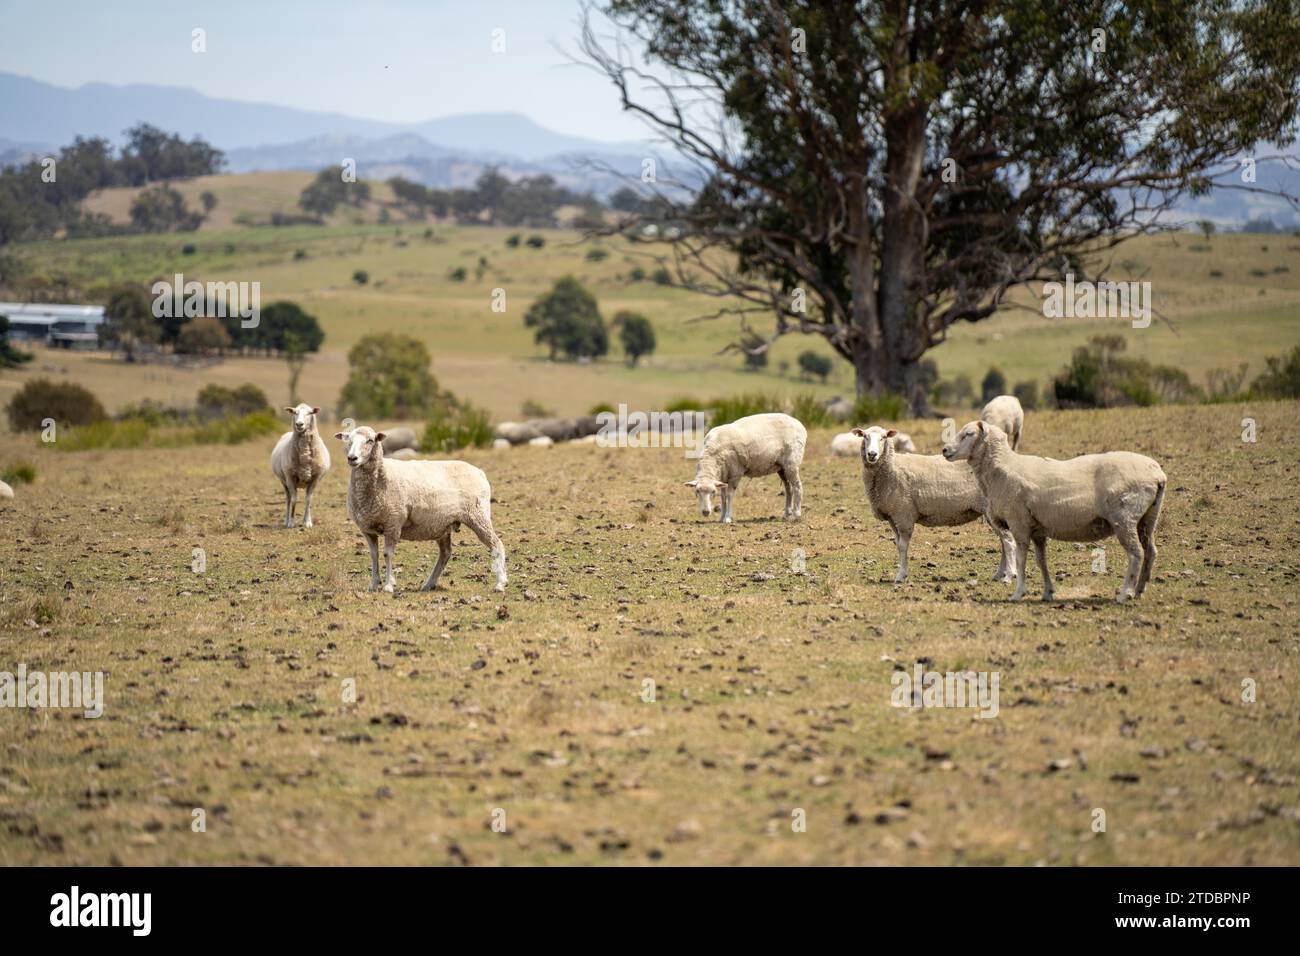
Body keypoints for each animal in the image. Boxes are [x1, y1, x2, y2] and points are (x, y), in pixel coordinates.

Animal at [337, 425, 507, 593]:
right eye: (349, 440)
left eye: (370, 440)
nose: (352, 458)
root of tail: (479, 472)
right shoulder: (367, 528)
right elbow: (374, 555)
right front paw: (373, 585)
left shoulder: (393, 523)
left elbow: (387, 554)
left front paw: (388, 585)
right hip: (442, 525)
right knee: (445, 553)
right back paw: (428, 584)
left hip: (478, 515)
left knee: (496, 544)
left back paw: (500, 582)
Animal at [854, 425, 1016, 583]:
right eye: (865, 436)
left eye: (883, 437)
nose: (872, 454)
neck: (892, 467)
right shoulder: (893, 517)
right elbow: (898, 544)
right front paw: (902, 573)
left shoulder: (904, 514)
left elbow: (902, 546)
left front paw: (901, 575)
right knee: (1003, 542)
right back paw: (999, 574)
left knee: (1008, 542)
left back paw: (1009, 575)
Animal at [944, 420, 1166, 603]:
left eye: (968, 434)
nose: (945, 450)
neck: (1001, 469)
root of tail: (1158, 474)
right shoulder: (1037, 529)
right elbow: (1041, 561)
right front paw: (1048, 592)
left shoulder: (1019, 523)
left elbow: (1021, 560)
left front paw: (1018, 593)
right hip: (1148, 518)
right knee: (1151, 551)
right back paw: (1140, 590)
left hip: (1125, 518)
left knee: (1136, 554)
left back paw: (1125, 593)